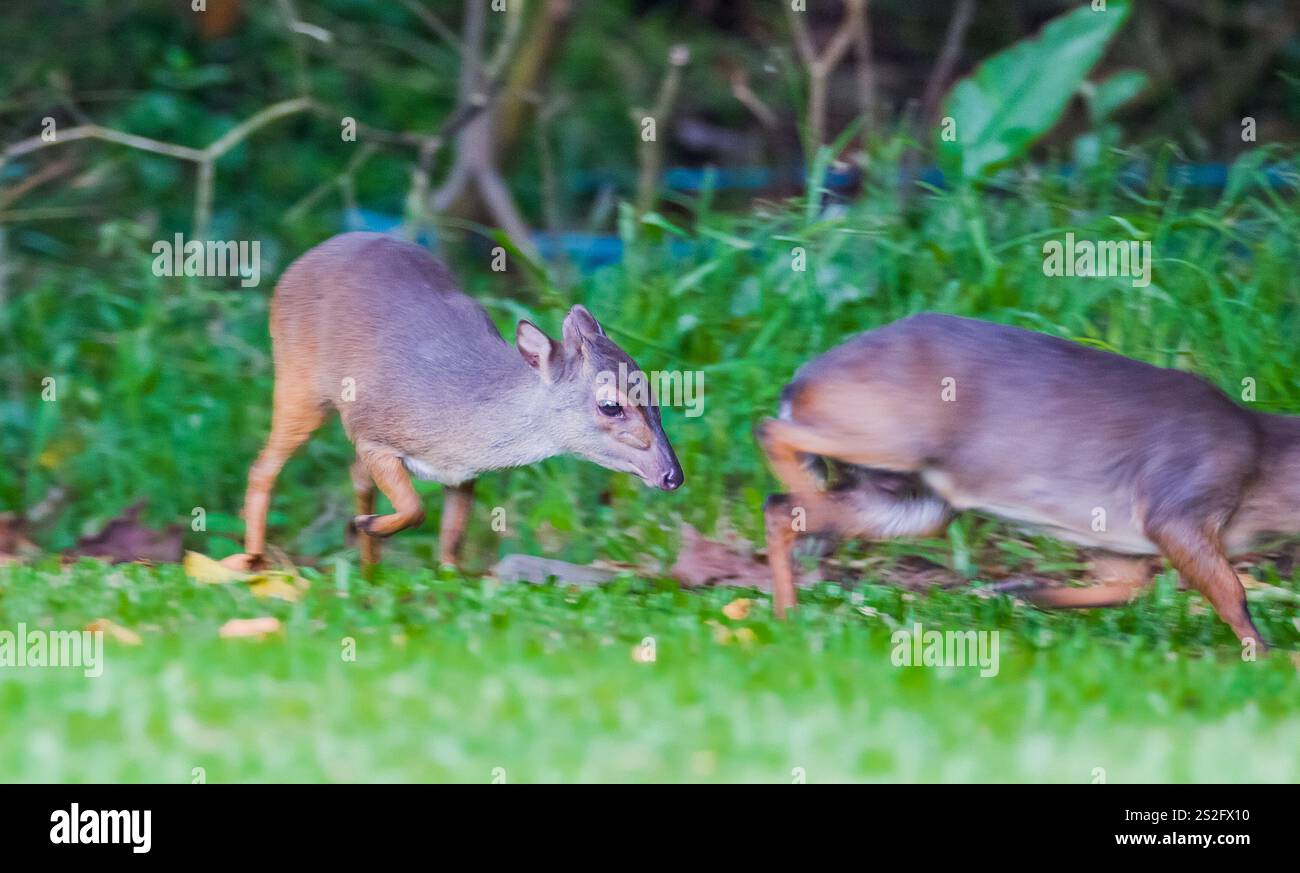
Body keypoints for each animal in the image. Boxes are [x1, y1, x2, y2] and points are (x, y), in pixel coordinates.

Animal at [225, 232, 683, 572]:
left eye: (653, 393)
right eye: (610, 405)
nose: (672, 476)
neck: (462, 414)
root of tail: (293, 269)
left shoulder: (462, 474)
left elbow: (451, 545)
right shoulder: (374, 431)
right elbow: (414, 508)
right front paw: (369, 525)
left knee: (352, 476)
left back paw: (368, 571)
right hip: (299, 381)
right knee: (263, 467)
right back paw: (252, 561)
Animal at [759, 313, 1299, 649]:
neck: (1262, 457)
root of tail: (800, 379)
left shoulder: (1114, 536)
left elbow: (1129, 588)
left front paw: (1014, 592)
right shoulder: (1177, 506)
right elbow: (1233, 594)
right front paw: (1270, 657)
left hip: (915, 498)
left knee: (781, 505)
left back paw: (788, 612)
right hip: (889, 434)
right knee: (771, 436)